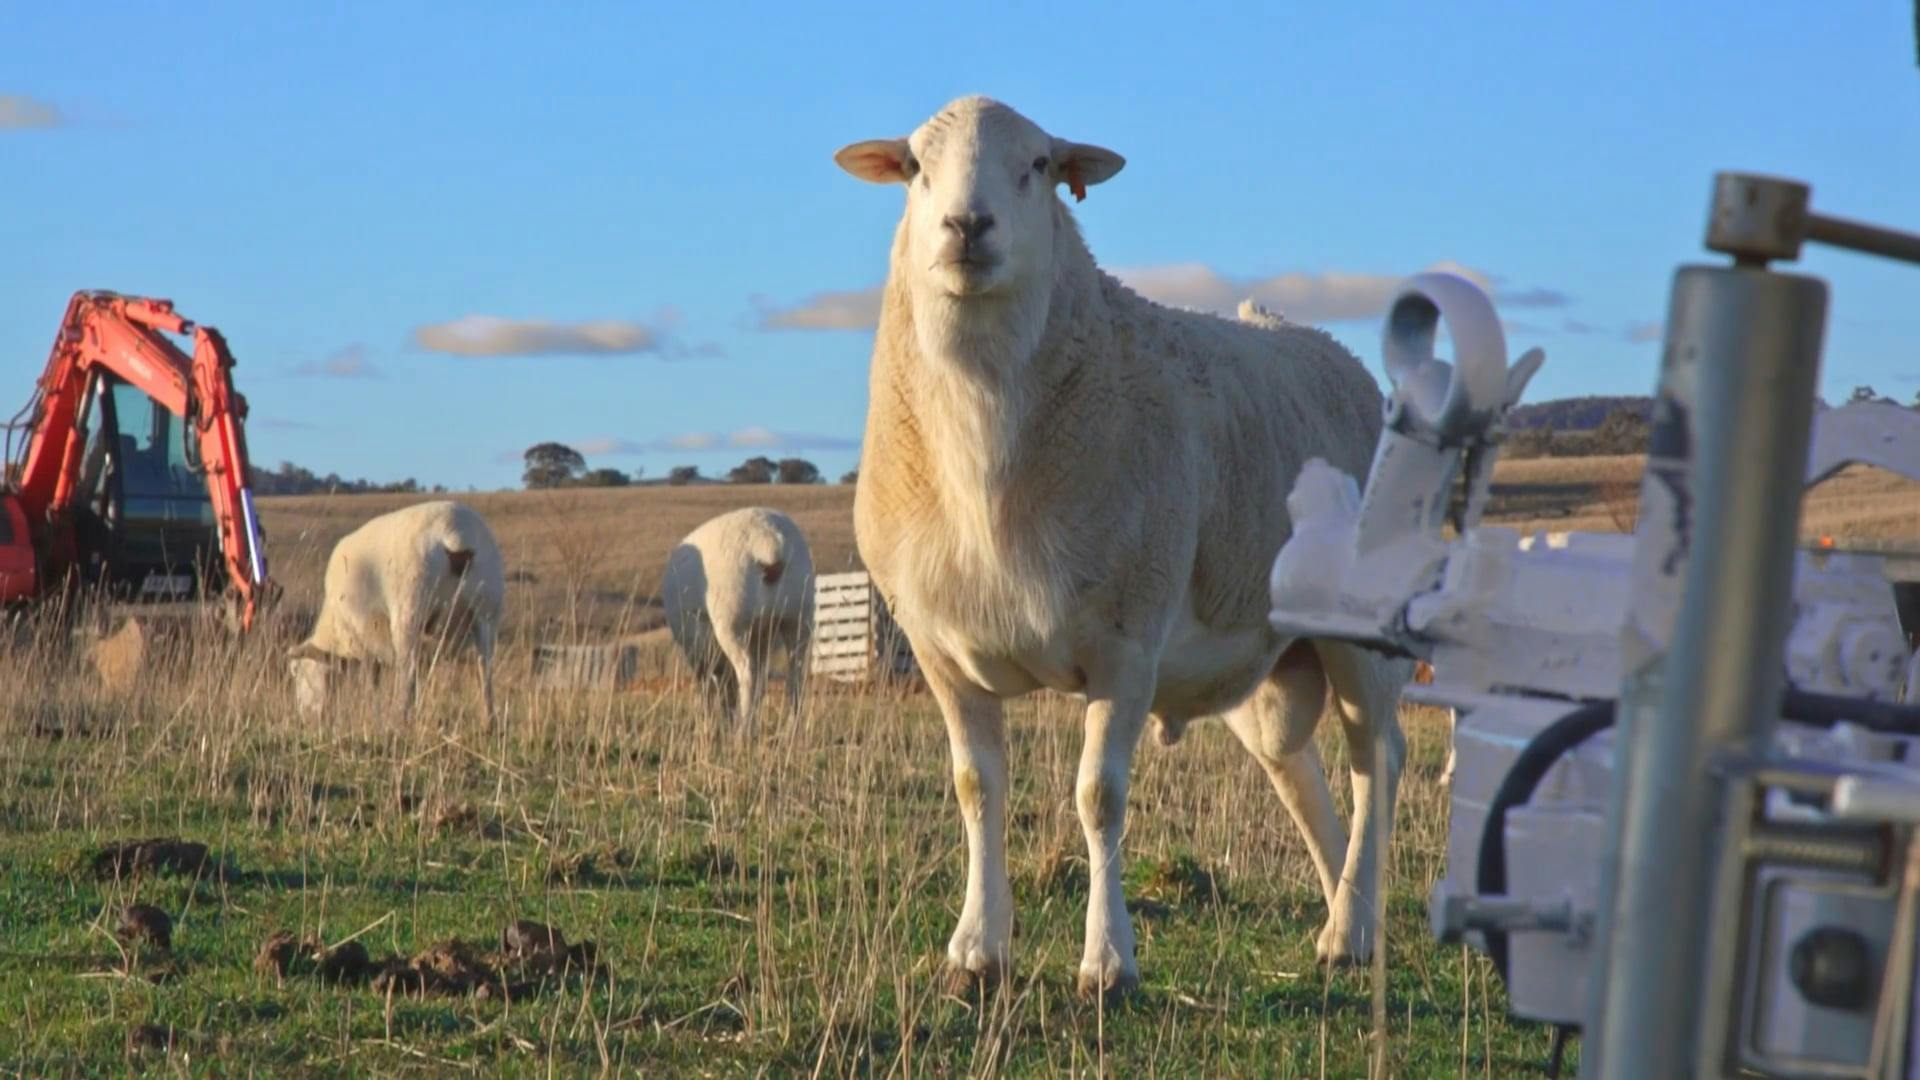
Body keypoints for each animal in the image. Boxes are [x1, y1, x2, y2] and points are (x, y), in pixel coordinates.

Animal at [286, 500, 504, 725]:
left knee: (407, 673)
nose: (304, 718)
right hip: (487, 612)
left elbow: (371, 682)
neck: (335, 628)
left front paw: (373, 713)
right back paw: (489, 720)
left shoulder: (365, 639)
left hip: (410, 610)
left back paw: (399, 717)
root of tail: (454, 533)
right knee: (485, 670)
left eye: (297, 672)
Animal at [660, 507, 815, 732]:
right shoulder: (761, 639)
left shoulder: (695, 644)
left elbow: (707, 685)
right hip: (798, 619)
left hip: (732, 622)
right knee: (796, 676)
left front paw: (708, 723)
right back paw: (791, 730)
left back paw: (743, 730)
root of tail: (768, 541)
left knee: (746, 673)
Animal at [835, 95, 1412, 997]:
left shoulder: (1126, 642)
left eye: (1039, 165)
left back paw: (1352, 923)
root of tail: (1318, 343)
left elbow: (1098, 798)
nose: (967, 225)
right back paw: (1342, 918)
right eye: (917, 167)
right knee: (1297, 769)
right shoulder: (941, 652)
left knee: (1375, 761)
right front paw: (977, 951)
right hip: (1262, 659)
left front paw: (1108, 962)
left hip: (1357, 630)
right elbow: (975, 790)